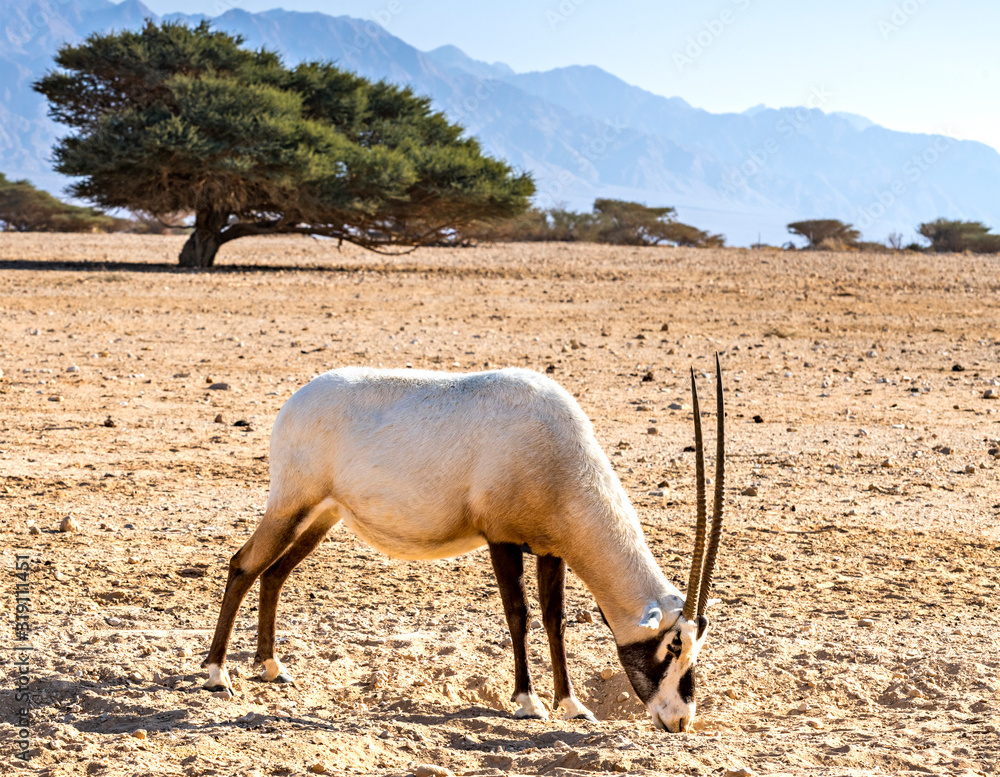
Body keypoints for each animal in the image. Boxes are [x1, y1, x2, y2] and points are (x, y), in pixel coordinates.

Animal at [203, 357, 725, 732]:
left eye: (696, 647)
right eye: (672, 645)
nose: (680, 721)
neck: (559, 454)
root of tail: (296, 400)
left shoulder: (551, 548)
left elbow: (554, 621)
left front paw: (572, 704)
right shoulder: (502, 539)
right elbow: (520, 616)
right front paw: (528, 702)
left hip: (322, 516)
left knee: (274, 573)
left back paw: (272, 667)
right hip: (291, 505)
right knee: (243, 566)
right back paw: (216, 674)